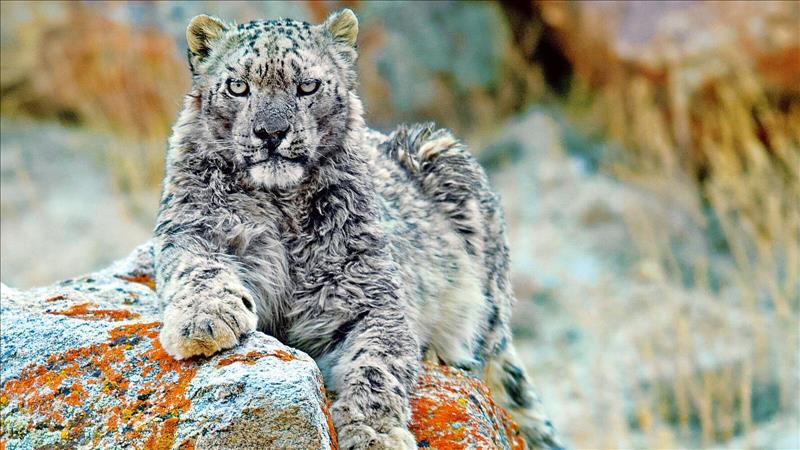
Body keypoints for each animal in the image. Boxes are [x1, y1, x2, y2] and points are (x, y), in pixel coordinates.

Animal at [154, 9, 563, 450]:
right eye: (238, 86)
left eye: (307, 85)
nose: (271, 133)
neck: (282, 211)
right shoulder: (194, 228)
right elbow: (198, 267)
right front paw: (204, 322)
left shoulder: (369, 294)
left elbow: (376, 364)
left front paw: (374, 434)